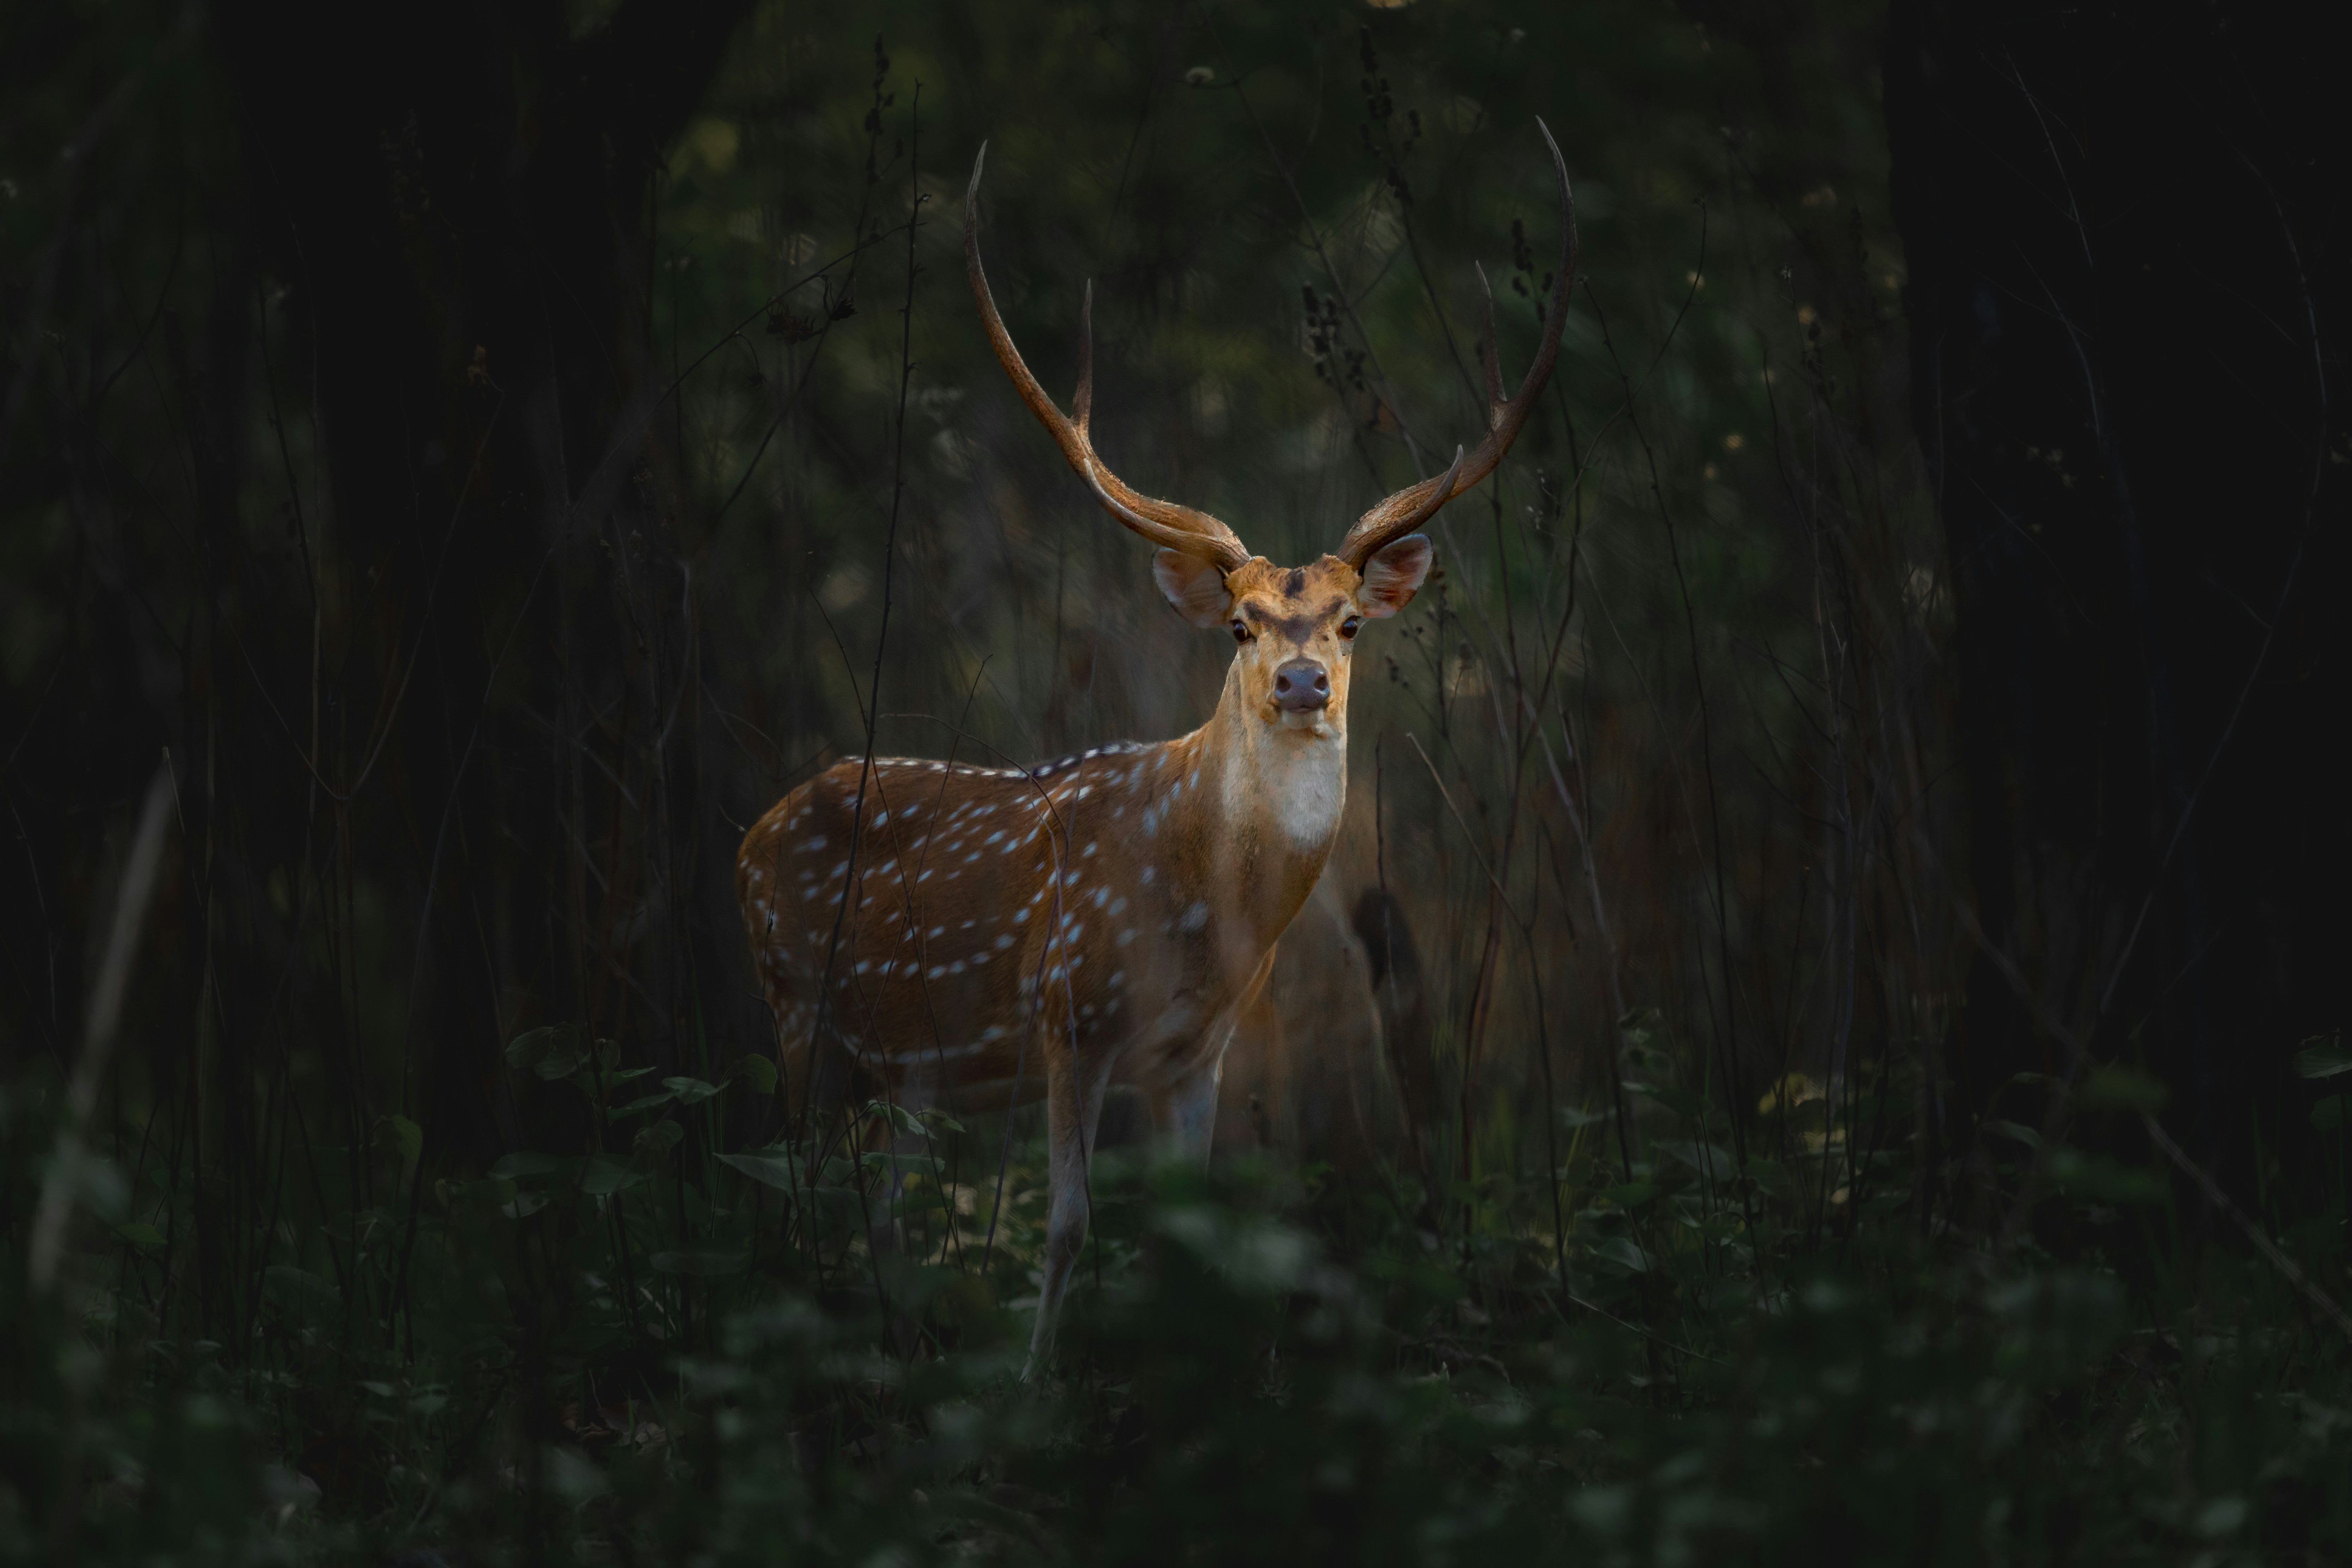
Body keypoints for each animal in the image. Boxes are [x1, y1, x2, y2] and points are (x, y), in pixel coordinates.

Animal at [736, 124, 1575, 1376]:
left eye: (1350, 622)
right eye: (1239, 625)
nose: (1298, 681)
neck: (1211, 914)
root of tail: (755, 828)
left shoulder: (1201, 1048)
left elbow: (1193, 1224)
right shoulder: (1065, 1010)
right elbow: (1070, 1224)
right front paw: (1033, 1388)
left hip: (907, 1063)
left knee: (881, 1206)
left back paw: (901, 1349)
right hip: (793, 1001)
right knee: (791, 1191)